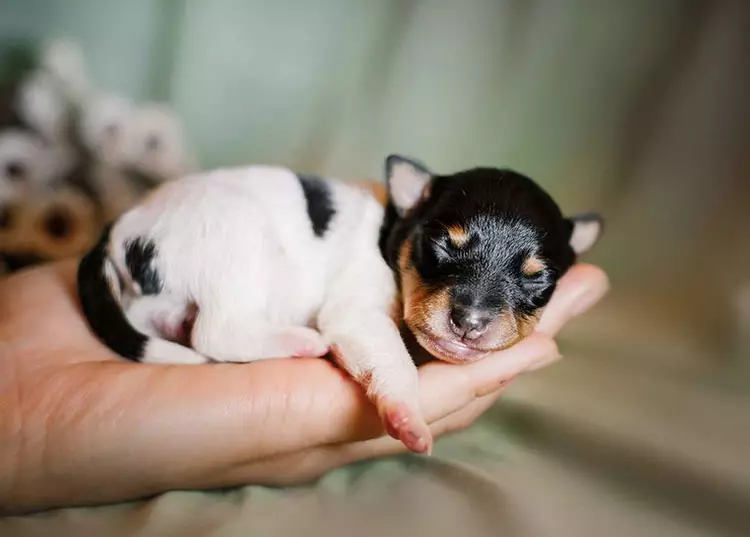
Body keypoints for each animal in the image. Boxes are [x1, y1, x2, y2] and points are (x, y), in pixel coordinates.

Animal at [76, 154, 604, 452]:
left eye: (538, 278)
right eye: (442, 246)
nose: (469, 321)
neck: (393, 232)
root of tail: (120, 228)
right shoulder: (357, 313)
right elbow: (392, 359)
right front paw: (406, 414)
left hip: (157, 297)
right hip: (237, 242)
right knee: (217, 333)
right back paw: (299, 342)